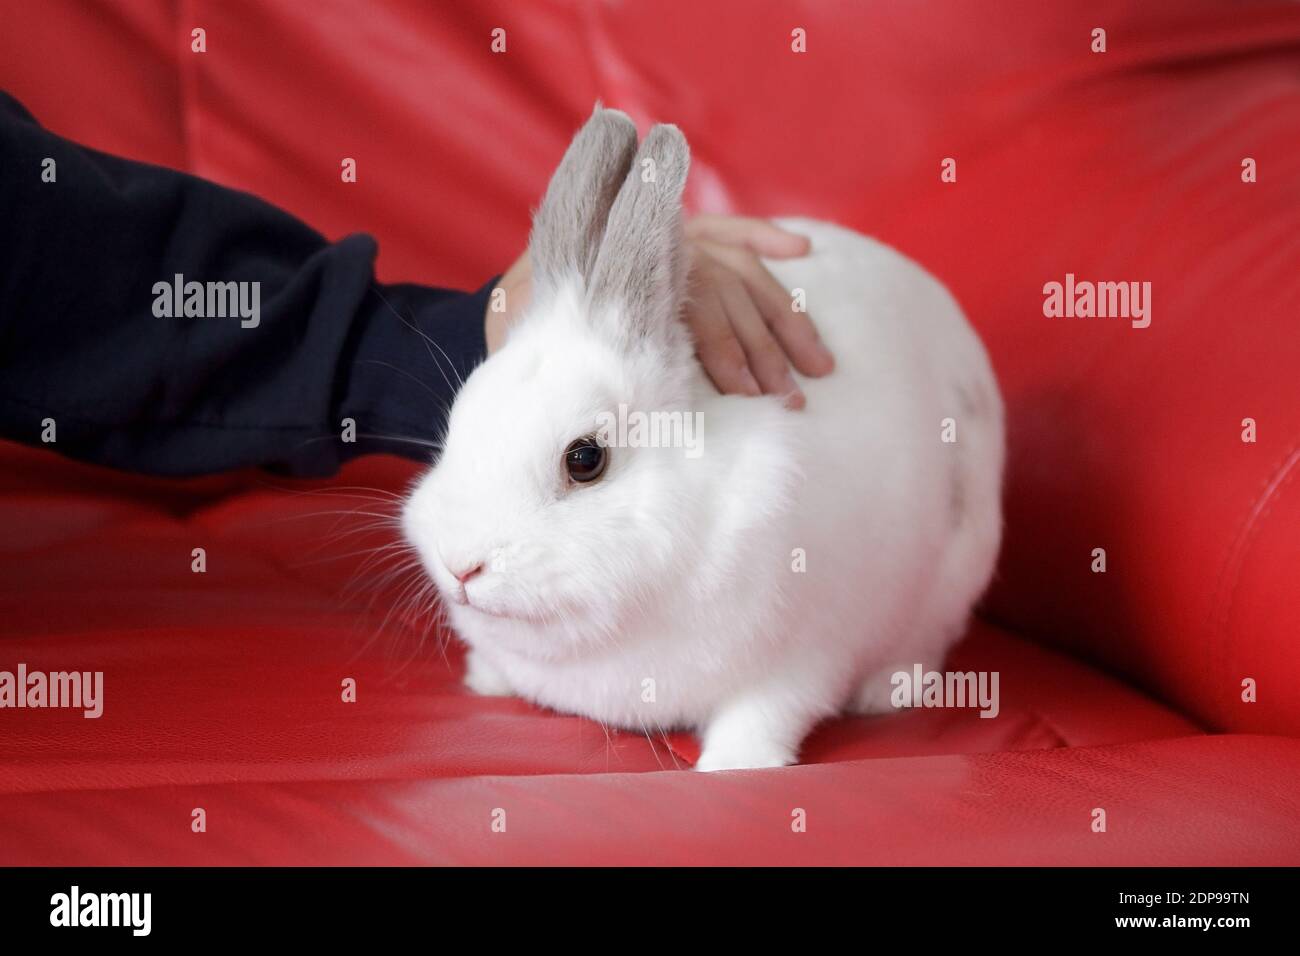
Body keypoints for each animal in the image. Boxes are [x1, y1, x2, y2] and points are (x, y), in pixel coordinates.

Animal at [402, 107, 1004, 771]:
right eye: (456, 424)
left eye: (585, 459)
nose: (461, 565)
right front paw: (487, 679)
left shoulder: (800, 661)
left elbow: (767, 712)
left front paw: (733, 765)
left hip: (950, 577)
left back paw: (883, 692)